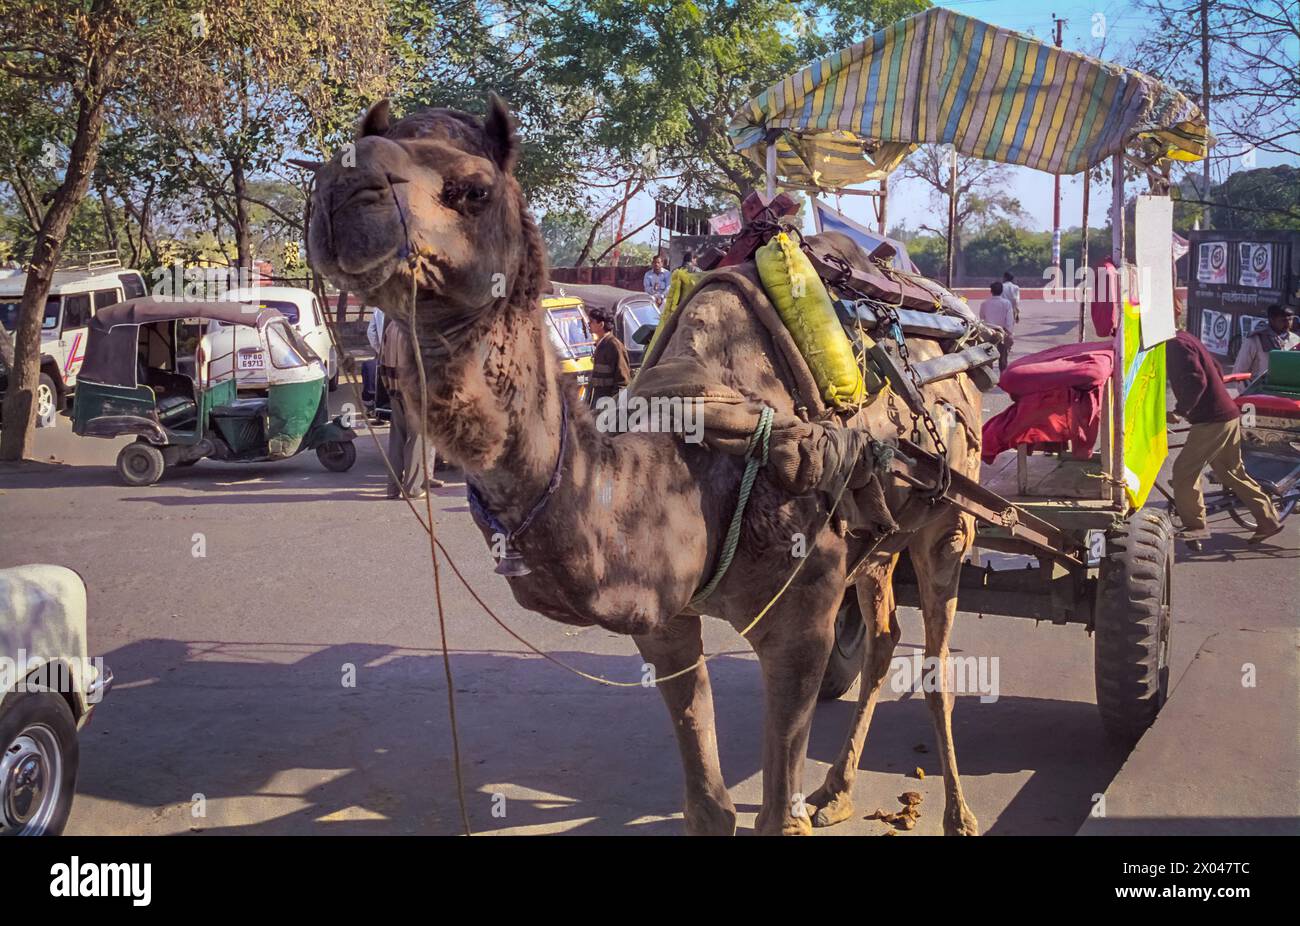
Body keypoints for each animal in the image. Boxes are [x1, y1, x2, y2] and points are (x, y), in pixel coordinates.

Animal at [306, 96, 985, 836]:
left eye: (473, 190)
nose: (341, 193)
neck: (699, 463)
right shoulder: (664, 624)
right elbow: (709, 806)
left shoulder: (804, 617)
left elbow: (776, 813)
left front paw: (802, 805)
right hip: (879, 538)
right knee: (886, 633)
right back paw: (835, 792)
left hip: (948, 522)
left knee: (938, 661)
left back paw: (957, 813)